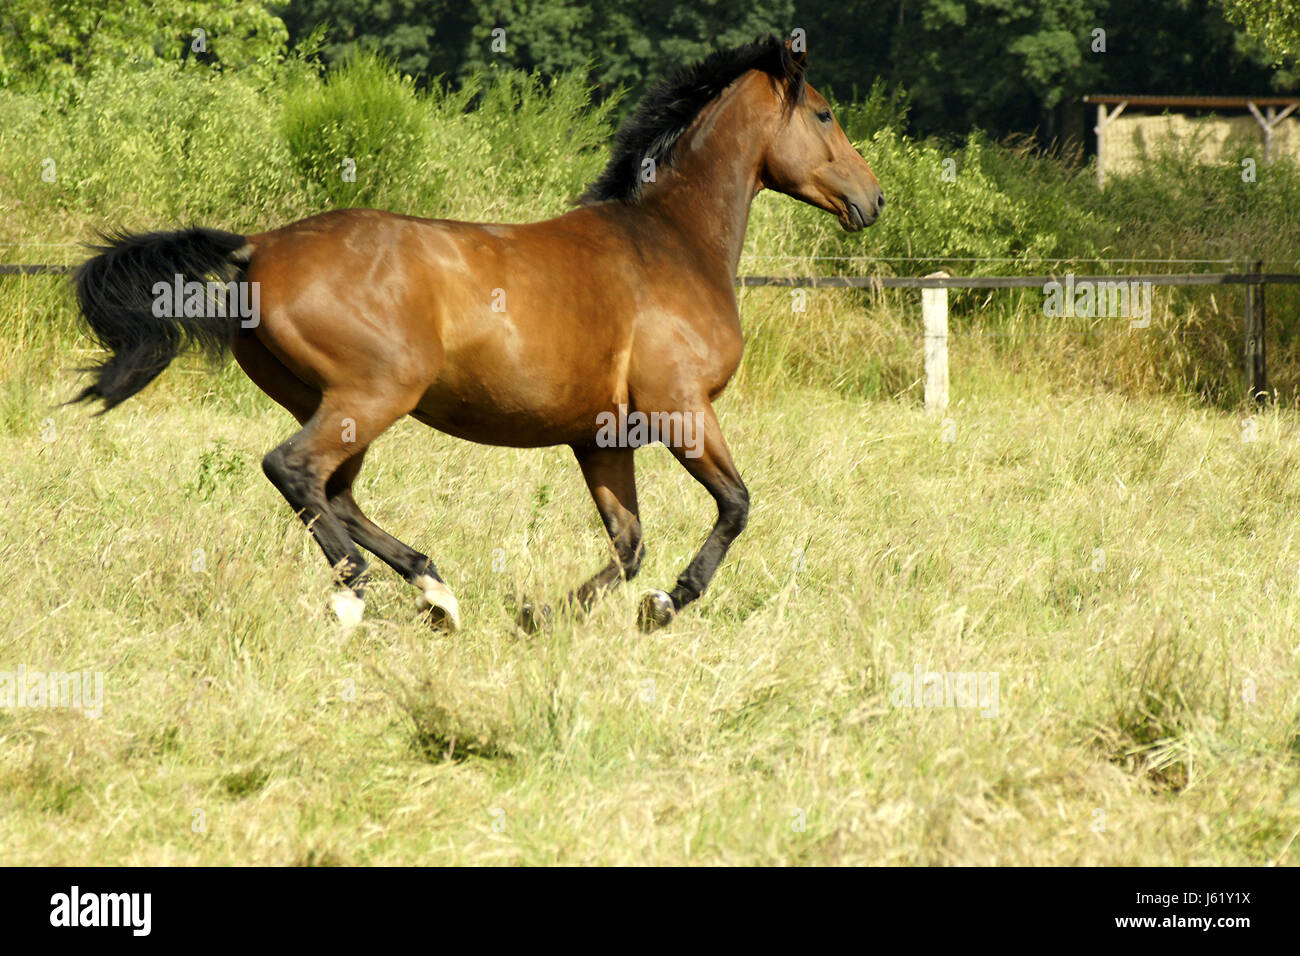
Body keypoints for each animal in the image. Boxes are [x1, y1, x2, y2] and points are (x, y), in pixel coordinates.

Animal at [69, 36, 883, 632]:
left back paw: (434, 592)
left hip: (336, 403)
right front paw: (662, 608)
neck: (670, 241)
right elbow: (735, 506)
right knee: (294, 471)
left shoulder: (602, 438)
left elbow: (628, 546)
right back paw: (356, 595)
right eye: (823, 114)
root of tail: (257, 247)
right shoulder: (682, 407)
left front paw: (541, 617)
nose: (871, 200)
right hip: (373, 395)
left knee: (335, 492)